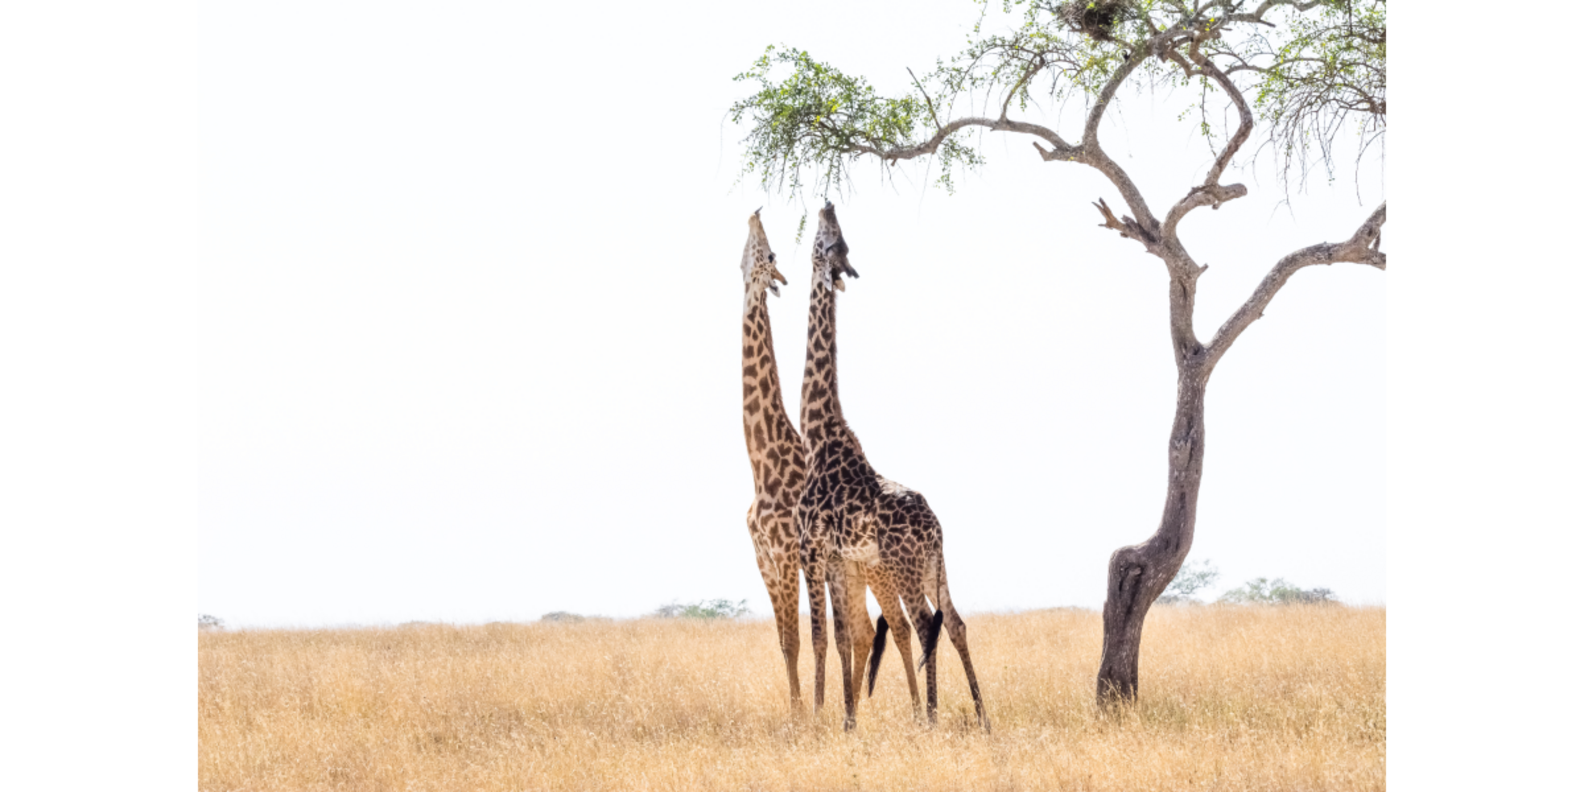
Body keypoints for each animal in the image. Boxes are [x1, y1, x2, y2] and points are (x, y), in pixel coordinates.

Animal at [738, 210, 876, 712]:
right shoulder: (764, 556)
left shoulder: (790, 552)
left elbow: (803, 639)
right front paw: (799, 712)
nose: (755, 214)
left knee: (874, 627)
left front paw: (805, 715)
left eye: (769, 253)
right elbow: (785, 640)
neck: (761, 464)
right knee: (868, 628)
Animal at [796, 201, 988, 731]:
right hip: (930, 566)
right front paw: (845, 721)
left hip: (904, 567)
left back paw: (933, 719)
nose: (827, 203)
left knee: (924, 626)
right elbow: (843, 635)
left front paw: (819, 721)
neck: (819, 435)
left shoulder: (811, 548)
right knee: (955, 622)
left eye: (834, 240)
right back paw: (981, 717)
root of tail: (936, 528)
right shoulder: (840, 558)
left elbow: (822, 635)